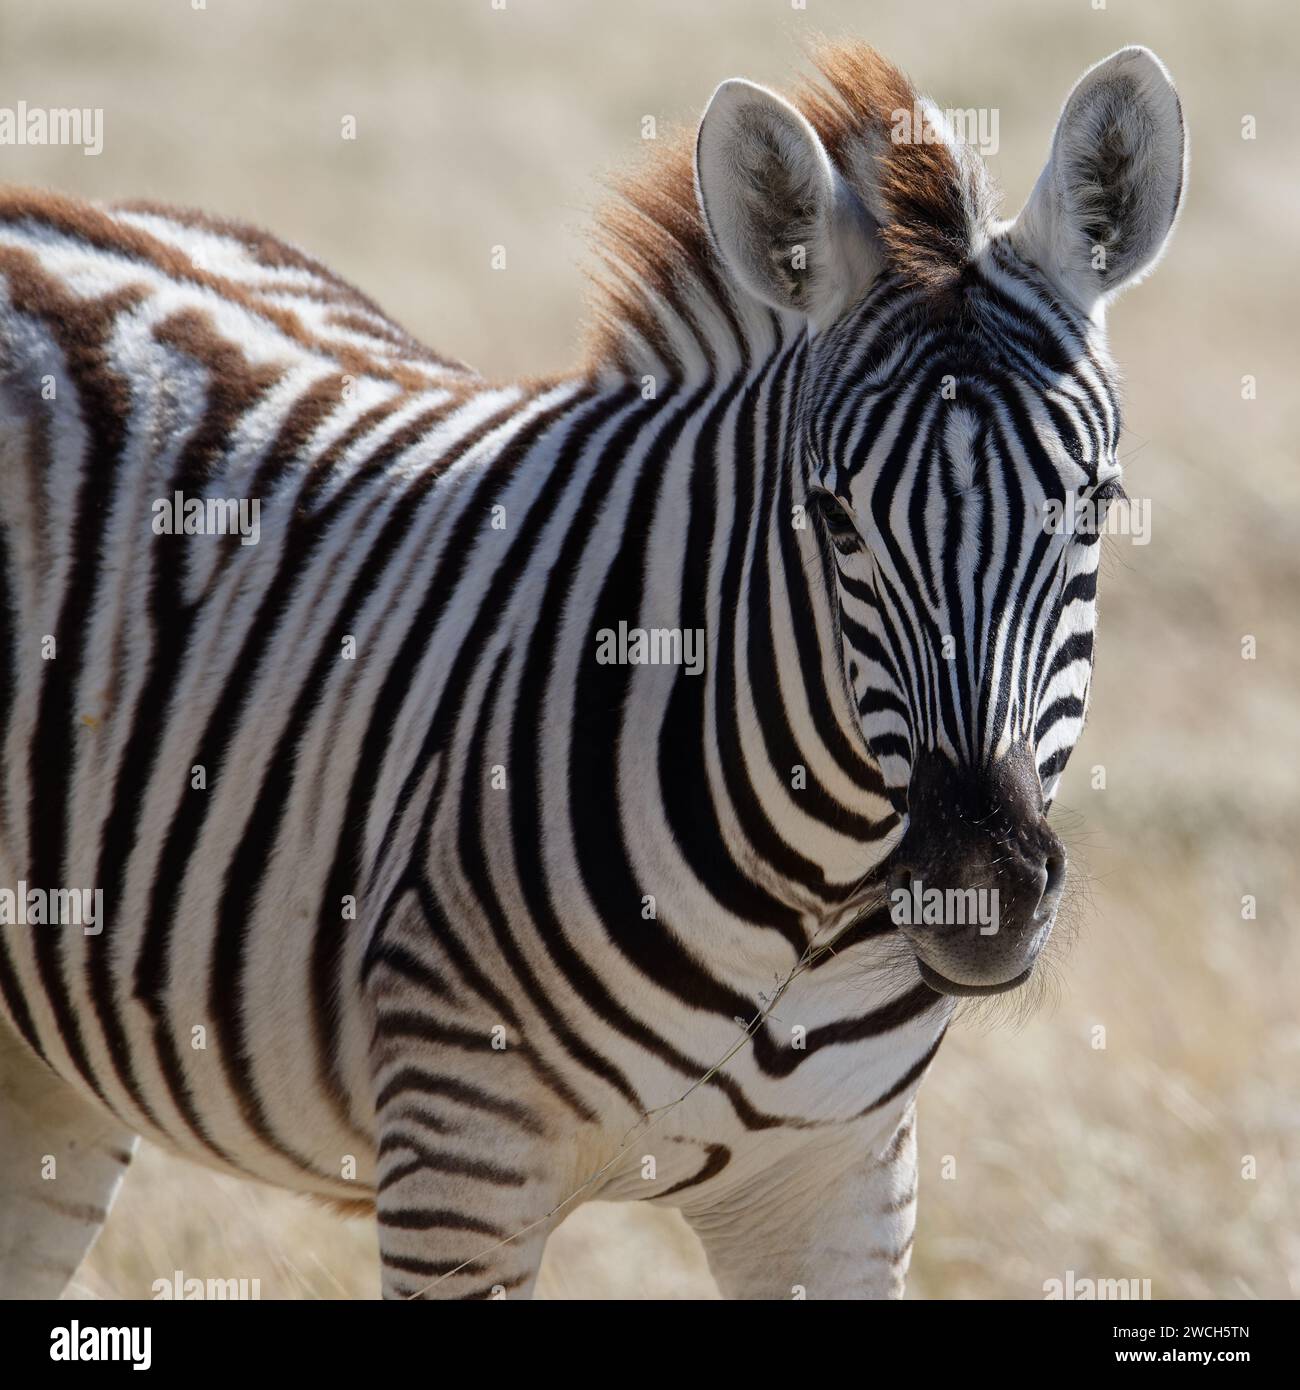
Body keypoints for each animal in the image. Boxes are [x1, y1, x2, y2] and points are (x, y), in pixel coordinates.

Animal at [0, 40, 1184, 1300]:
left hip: (44, 1079)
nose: (978, 890)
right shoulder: (459, 1159)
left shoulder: (840, 1180)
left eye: (1093, 503)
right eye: (832, 516)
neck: (806, 909)